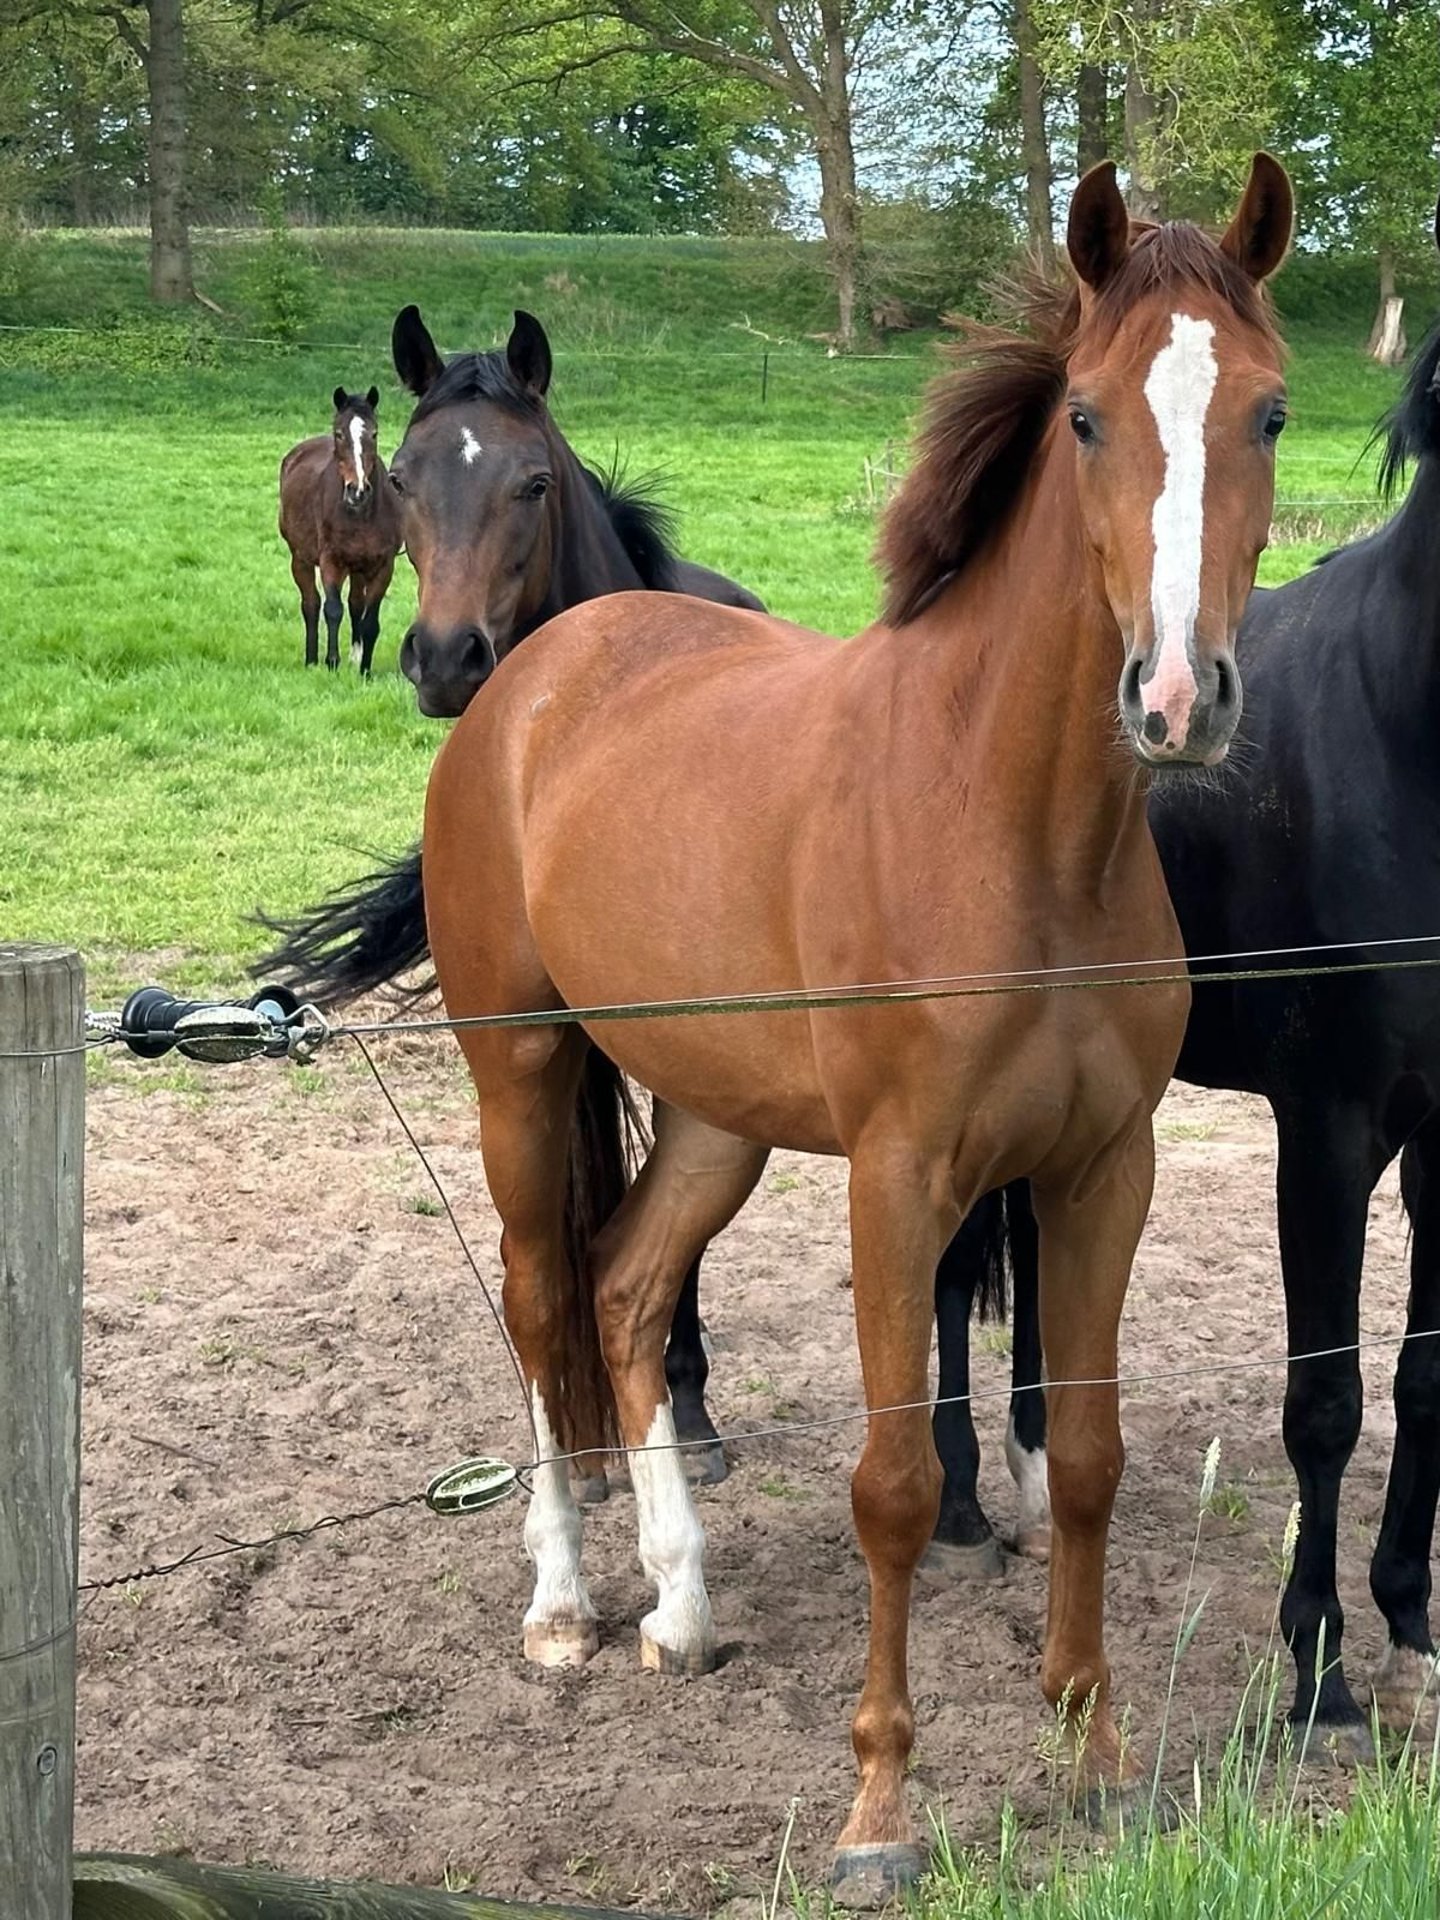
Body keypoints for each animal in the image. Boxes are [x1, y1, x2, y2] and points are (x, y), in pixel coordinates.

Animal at [278, 386, 402, 675]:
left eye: (374, 433)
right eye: (339, 434)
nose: (357, 490)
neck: (361, 514)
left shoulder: (382, 566)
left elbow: (370, 619)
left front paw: (364, 670)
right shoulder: (331, 561)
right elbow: (332, 609)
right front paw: (331, 662)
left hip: (357, 567)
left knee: (356, 604)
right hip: (300, 559)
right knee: (311, 604)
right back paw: (311, 659)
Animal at [929, 192, 1440, 1758]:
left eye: (1273, 417)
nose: (1172, 702)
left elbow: (1426, 1378)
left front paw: (1409, 1633)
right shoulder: (1327, 1129)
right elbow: (1326, 1398)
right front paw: (1320, 1666)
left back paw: (1035, 1479)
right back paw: (965, 1502)